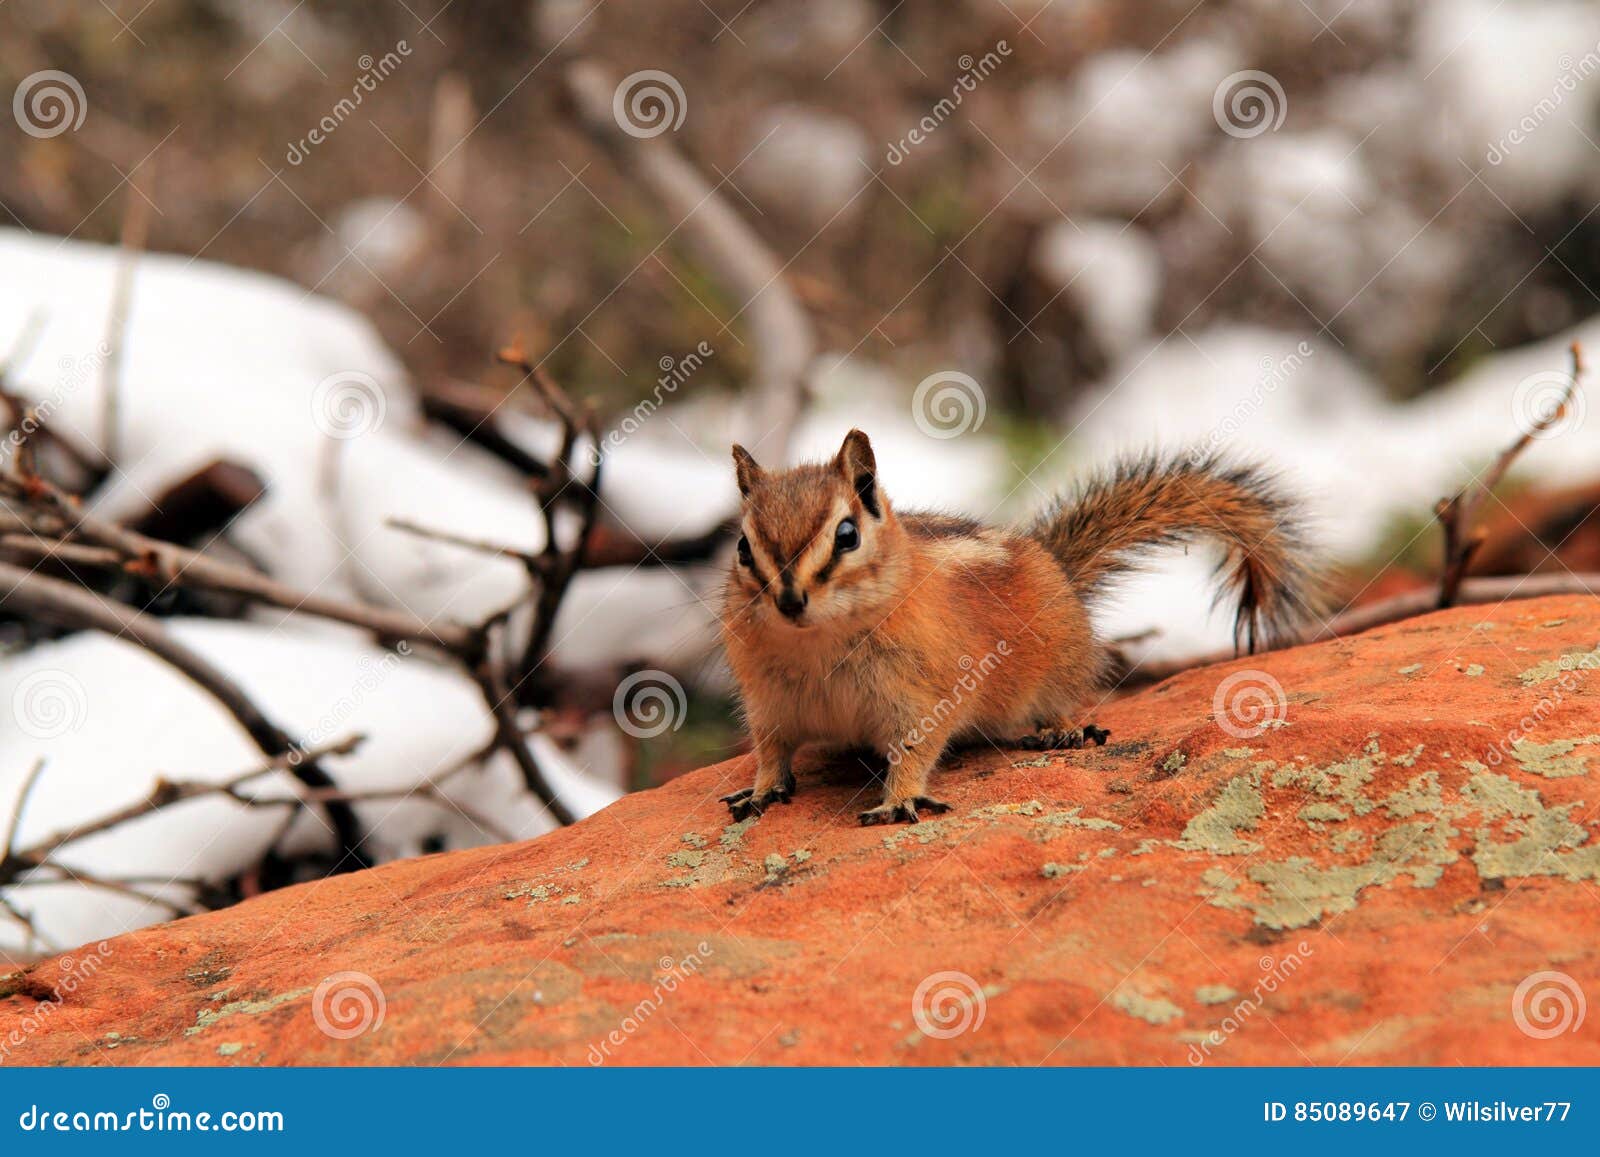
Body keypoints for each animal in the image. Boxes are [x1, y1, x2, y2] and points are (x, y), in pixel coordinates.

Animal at [719, 429, 1323, 826]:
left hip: (1055, 671)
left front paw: (900, 797)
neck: (817, 643)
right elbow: (771, 750)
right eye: (744, 547)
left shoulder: (924, 694)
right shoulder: (767, 701)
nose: (790, 599)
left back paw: (1060, 730)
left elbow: (915, 747)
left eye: (847, 536)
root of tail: (1060, 570)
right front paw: (761, 791)